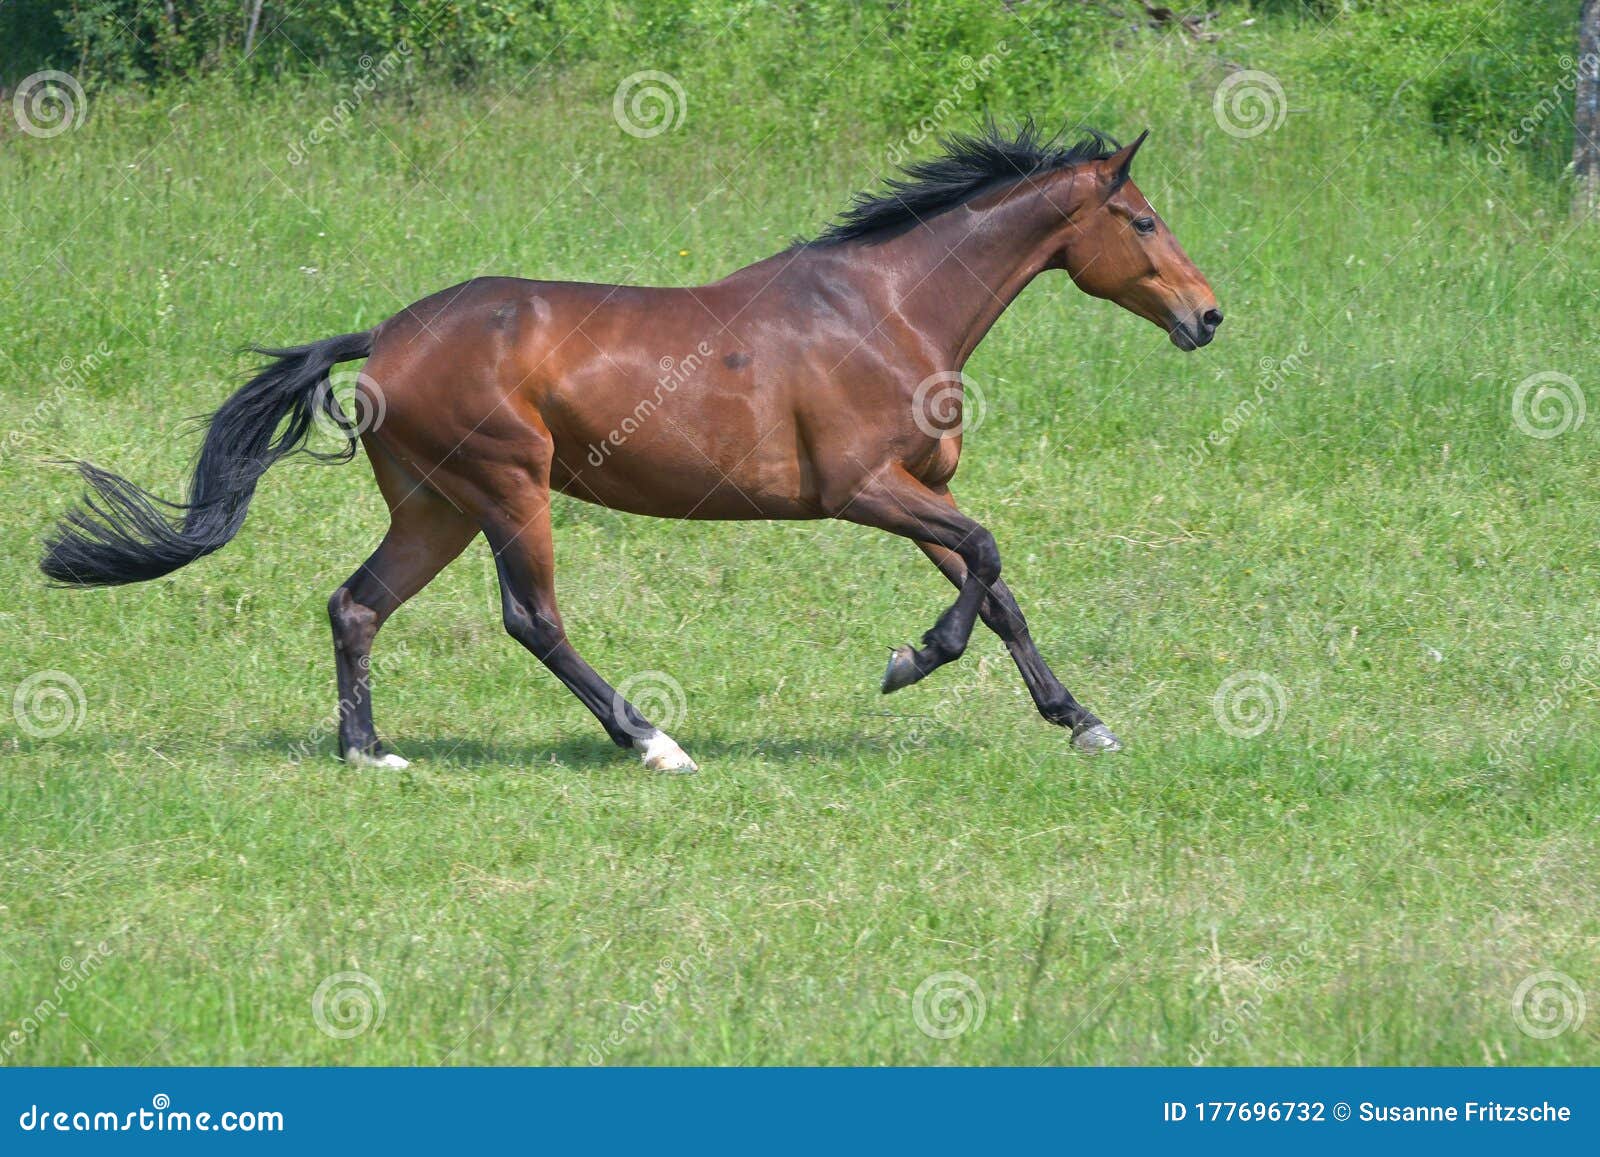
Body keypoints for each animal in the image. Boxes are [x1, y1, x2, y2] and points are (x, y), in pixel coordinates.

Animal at [41, 122, 1221, 773]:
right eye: (1145, 220)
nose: (1208, 317)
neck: (886, 307)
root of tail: (387, 335)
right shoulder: (863, 488)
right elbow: (984, 557)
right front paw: (908, 661)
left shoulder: (909, 489)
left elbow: (998, 585)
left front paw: (1081, 721)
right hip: (508, 489)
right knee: (531, 618)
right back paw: (654, 740)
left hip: (435, 506)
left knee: (356, 603)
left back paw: (368, 751)